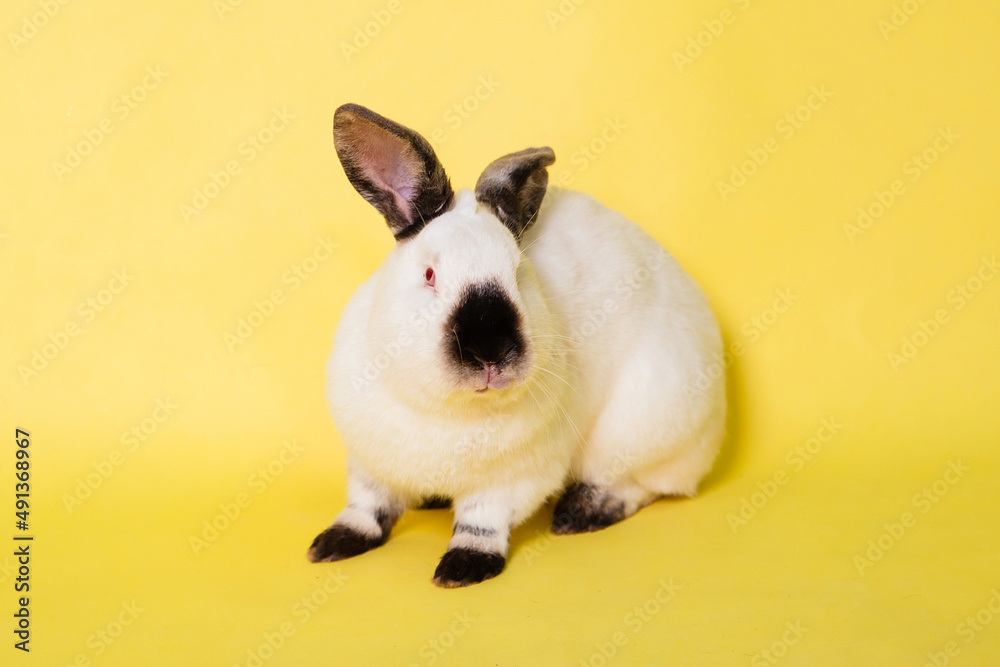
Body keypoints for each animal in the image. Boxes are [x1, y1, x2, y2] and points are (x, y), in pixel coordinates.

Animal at [307, 103, 726, 588]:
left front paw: (461, 570)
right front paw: (331, 545)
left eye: (519, 274)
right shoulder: (369, 464)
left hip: (641, 432)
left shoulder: (510, 481)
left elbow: (481, 522)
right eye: (430, 275)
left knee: (638, 485)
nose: (489, 351)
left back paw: (580, 513)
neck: (452, 411)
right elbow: (365, 506)